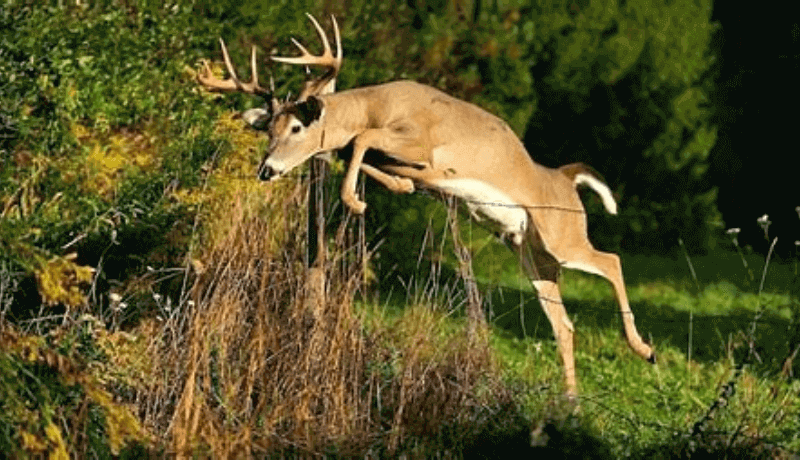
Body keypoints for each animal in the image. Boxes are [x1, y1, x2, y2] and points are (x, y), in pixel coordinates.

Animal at [197, 14, 656, 398]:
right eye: (268, 130)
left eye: (295, 127)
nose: (267, 170)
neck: (374, 106)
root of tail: (565, 177)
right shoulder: (413, 166)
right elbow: (374, 161)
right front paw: (377, 191)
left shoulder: (422, 145)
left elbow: (362, 140)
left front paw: (354, 201)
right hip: (532, 252)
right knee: (565, 324)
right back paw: (571, 403)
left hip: (562, 237)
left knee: (612, 260)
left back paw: (644, 349)